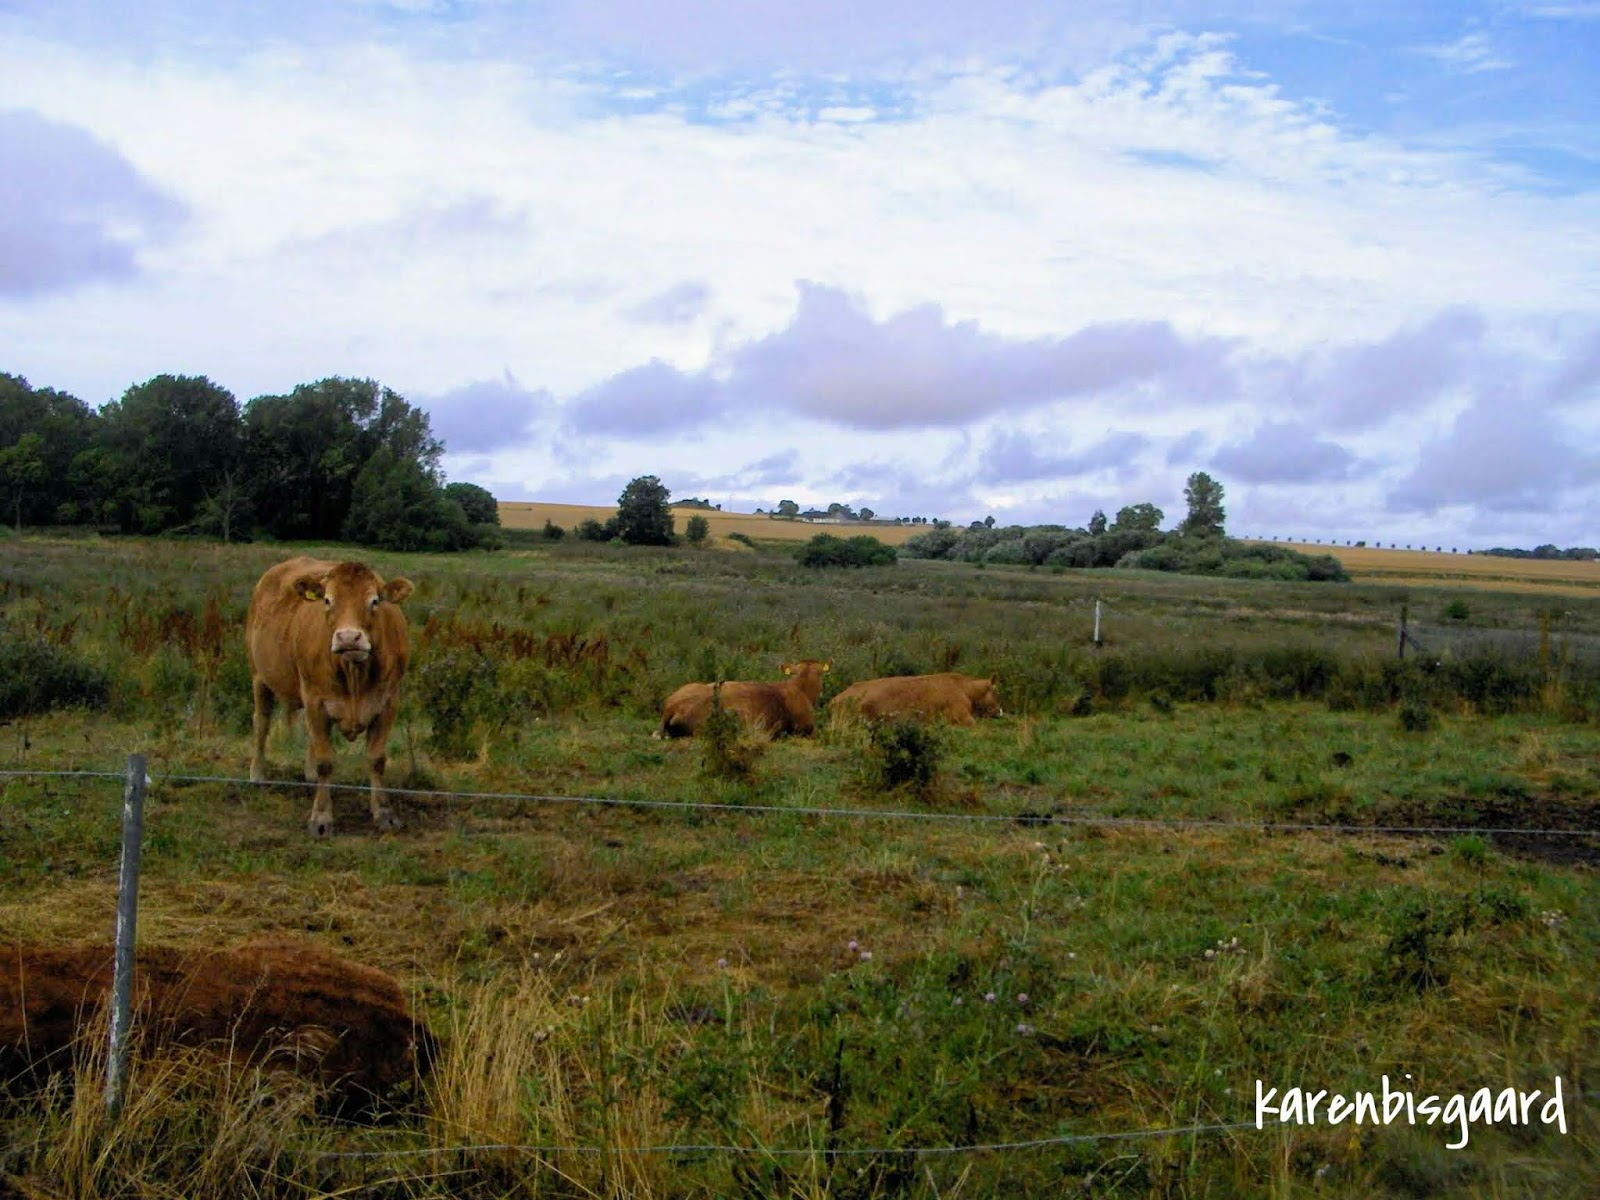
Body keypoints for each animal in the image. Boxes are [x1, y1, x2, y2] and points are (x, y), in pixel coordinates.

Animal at [246, 557, 413, 837]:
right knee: (262, 723)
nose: (348, 637)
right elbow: (326, 761)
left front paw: (384, 813)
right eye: (327, 600)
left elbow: (376, 759)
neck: (355, 673)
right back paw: (257, 773)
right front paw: (321, 818)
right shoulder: (315, 700)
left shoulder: (389, 702)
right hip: (259, 677)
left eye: (374, 601)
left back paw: (309, 773)